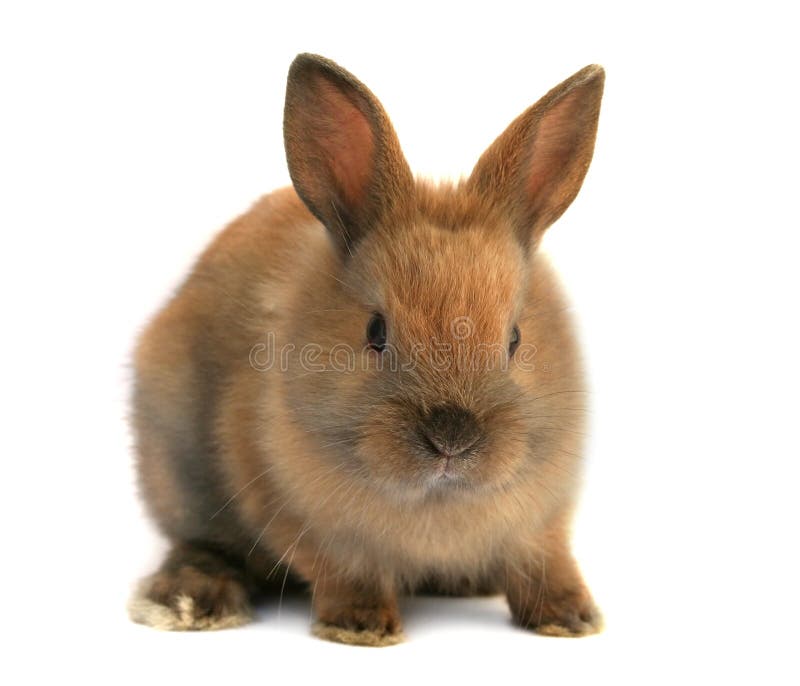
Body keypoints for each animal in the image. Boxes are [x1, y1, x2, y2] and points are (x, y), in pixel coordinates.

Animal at [128, 53, 605, 646]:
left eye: (515, 338)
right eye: (376, 331)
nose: (452, 437)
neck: (437, 500)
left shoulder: (542, 525)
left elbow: (545, 565)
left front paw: (572, 618)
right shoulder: (308, 522)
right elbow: (349, 572)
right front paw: (361, 626)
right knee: (201, 545)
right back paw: (191, 600)